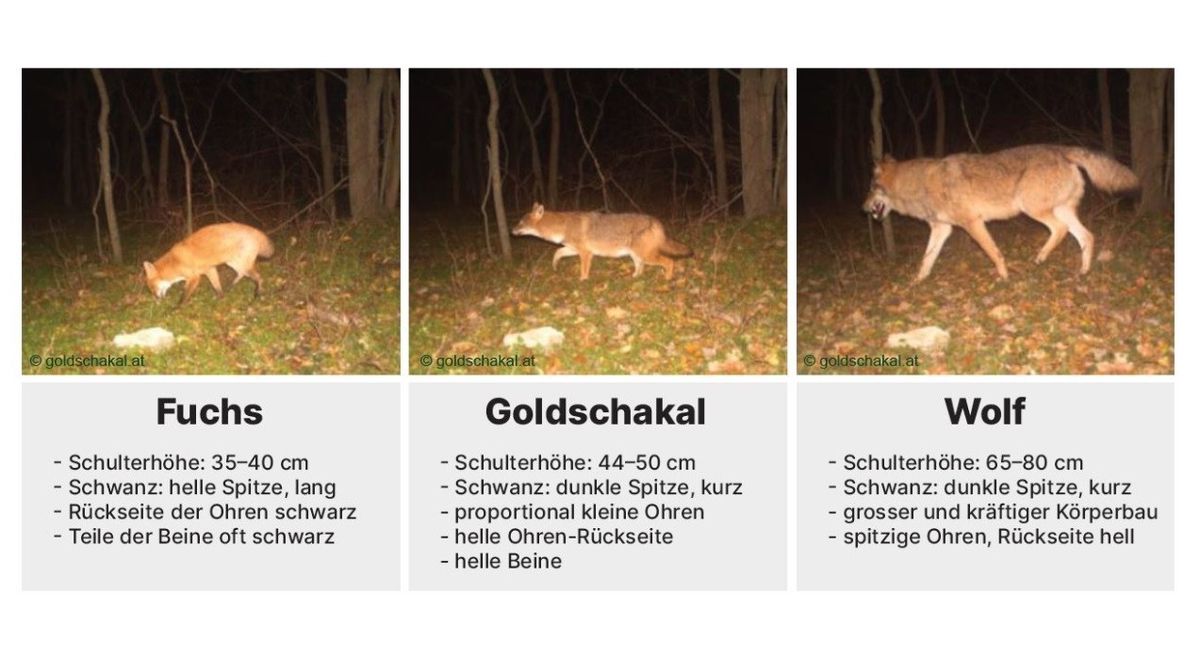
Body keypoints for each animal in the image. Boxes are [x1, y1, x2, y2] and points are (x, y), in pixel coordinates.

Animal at [511, 203, 692, 280]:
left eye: (520, 222)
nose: (512, 231)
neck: (563, 226)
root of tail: (655, 220)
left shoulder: (585, 253)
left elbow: (583, 270)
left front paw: (583, 280)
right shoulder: (573, 250)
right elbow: (557, 252)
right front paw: (555, 266)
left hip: (646, 255)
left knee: (669, 262)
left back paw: (667, 280)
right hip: (636, 255)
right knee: (640, 268)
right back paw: (634, 277)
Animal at [863, 145, 1139, 281]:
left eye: (871, 187)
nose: (863, 207)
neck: (920, 184)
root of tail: (1062, 150)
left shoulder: (973, 223)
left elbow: (994, 253)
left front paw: (1004, 278)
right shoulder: (942, 229)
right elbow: (926, 260)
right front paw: (917, 283)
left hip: (1033, 209)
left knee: (1060, 231)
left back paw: (1040, 258)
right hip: (1061, 211)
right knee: (1087, 237)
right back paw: (1083, 272)